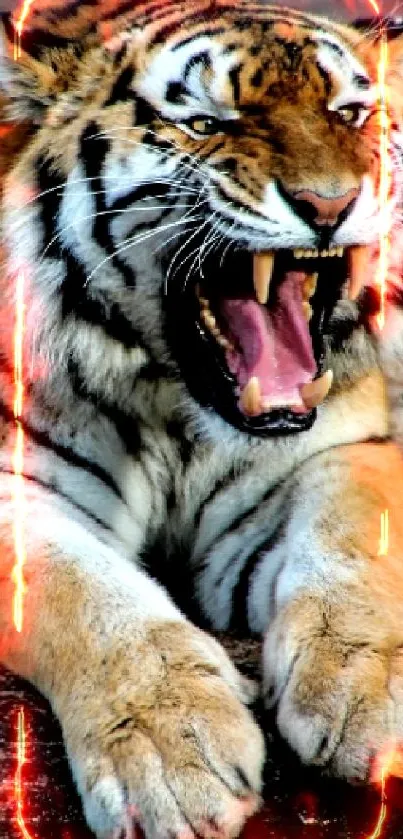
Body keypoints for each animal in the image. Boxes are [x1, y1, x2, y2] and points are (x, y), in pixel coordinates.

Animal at [2, 1, 403, 836]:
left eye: (348, 113)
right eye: (205, 123)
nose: (329, 204)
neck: (179, 409)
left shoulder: (329, 456)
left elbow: (356, 526)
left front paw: (362, 689)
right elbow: (85, 592)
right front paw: (170, 753)